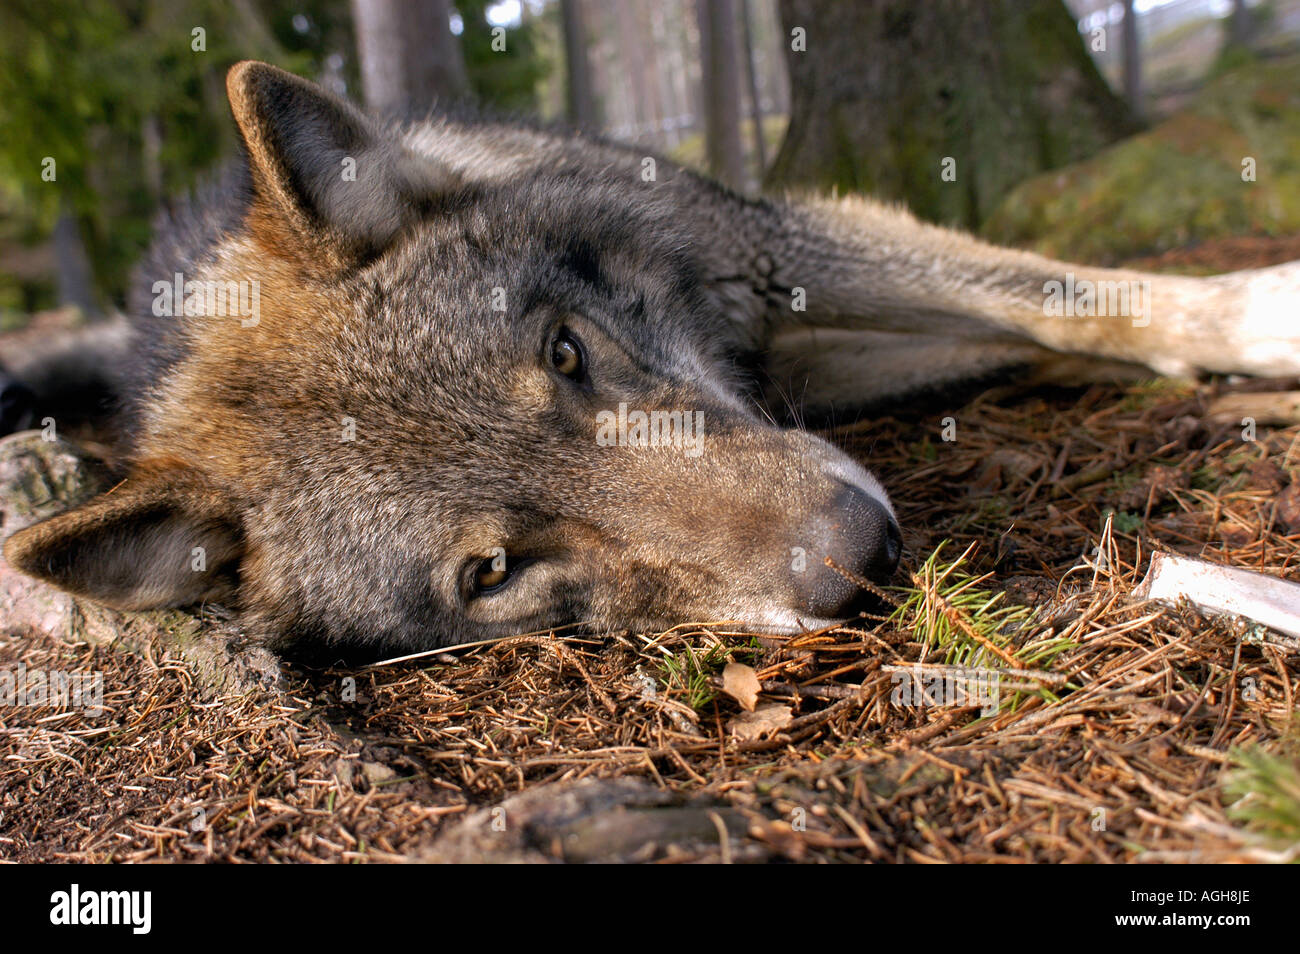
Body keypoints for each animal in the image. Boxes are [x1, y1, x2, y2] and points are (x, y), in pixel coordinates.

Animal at [4, 62, 1299, 652]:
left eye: (568, 353)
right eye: (491, 571)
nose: (858, 551)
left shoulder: (760, 249)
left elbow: (1059, 298)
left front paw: (1247, 322)